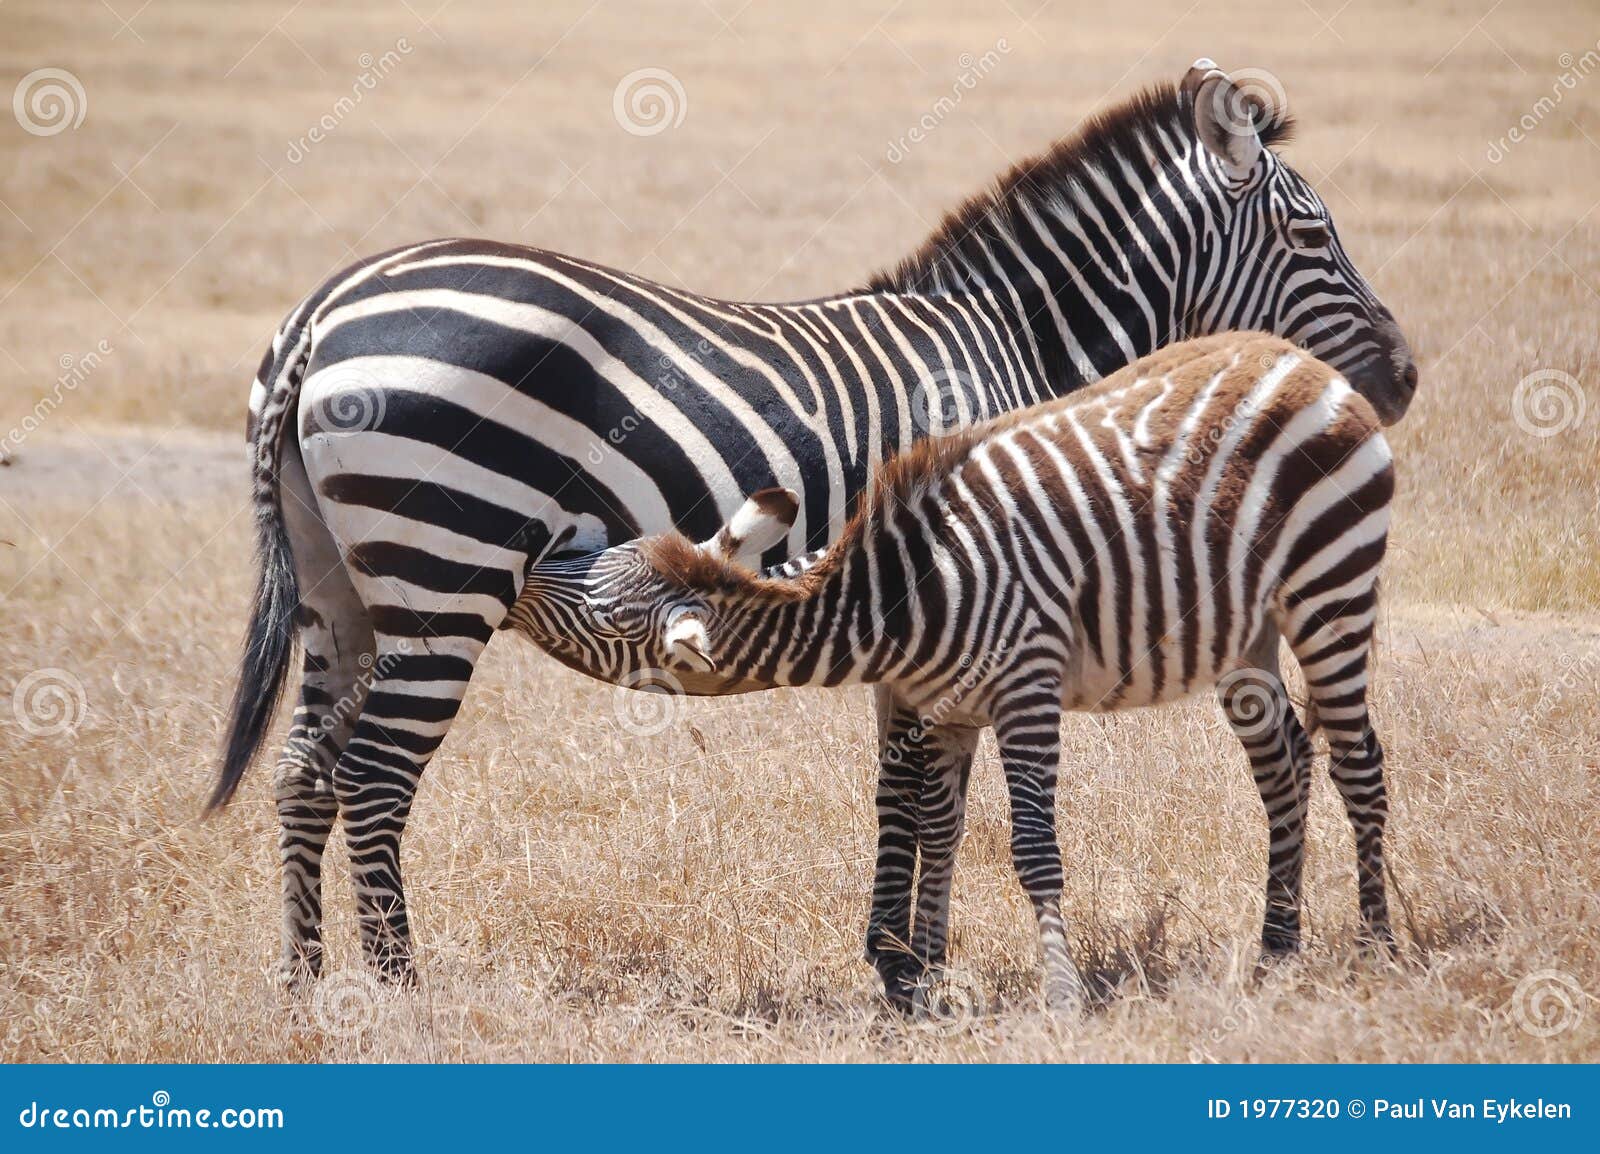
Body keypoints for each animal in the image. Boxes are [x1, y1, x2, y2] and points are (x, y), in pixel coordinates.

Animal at [517, 332, 1407, 1010]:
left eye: (602, 613)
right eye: (599, 558)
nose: (524, 565)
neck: (907, 596)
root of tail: (1298, 359)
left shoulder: (1025, 692)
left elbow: (1033, 848)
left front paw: (1058, 995)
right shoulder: (946, 707)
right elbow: (937, 831)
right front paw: (928, 977)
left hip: (1331, 587)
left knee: (1358, 764)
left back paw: (1377, 947)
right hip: (1244, 633)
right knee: (1284, 762)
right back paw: (1278, 949)